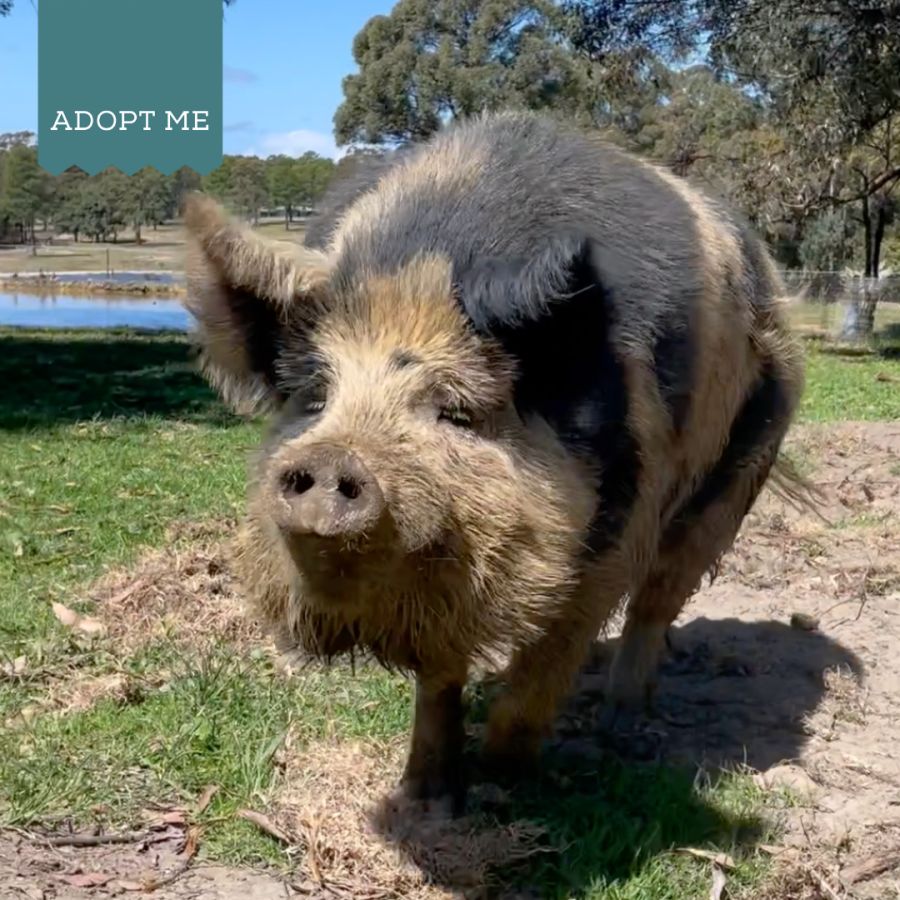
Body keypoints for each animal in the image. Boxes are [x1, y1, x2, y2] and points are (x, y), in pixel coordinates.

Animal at [182, 111, 805, 812]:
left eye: (456, 411)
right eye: (315, 399)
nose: (333, 456)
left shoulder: (618, 528)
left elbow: (549, 657)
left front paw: (506, 786)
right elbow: (438, 673)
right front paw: (425, 795)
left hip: (741, 469)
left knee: (660, 596)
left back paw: (622, 722)